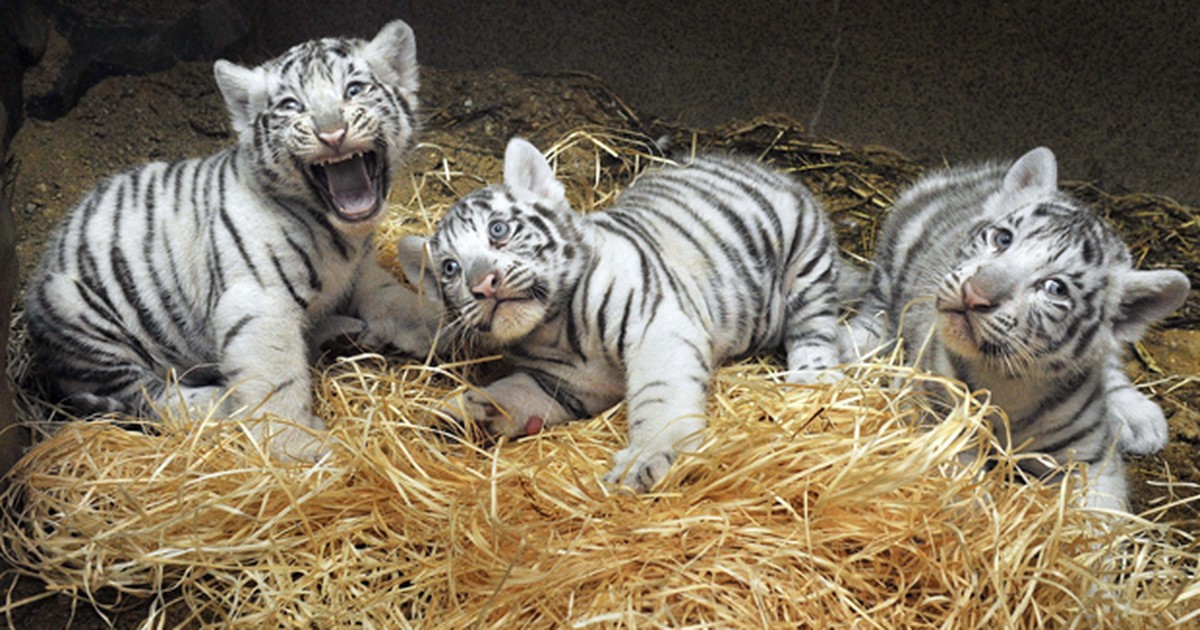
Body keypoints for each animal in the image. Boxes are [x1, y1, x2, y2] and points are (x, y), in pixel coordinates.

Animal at [23, 20, 440, 459]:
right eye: (292, 105)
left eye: (354, 89)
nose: (332, 133)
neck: (339, 236)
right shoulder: (259, 301)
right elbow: (277, 379)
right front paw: (298, 447)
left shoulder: (360, 271)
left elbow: (395, 297)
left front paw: (435, 324)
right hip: (74, 312)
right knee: (150, 395)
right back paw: (226, 404)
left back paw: (343, 333)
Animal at [399, 137, 842, 492]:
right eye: (451, 268)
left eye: (498, 230)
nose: (484, 285)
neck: (552, 330)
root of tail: (760, 165)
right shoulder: (562, 386)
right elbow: (512, 392)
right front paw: (465, 411)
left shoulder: (657, 327)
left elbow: (659, 396)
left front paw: (647, 459)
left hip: (807, 260)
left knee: (817, 326)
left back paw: (812, 378)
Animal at [841, 146, 1190, 510]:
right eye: (1003, 239)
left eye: (1055, 288)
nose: (974, 293)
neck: (1006, 378)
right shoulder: (929, 409)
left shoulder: (1090, 458)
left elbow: (1102, 511)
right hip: (897, 251)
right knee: (879, 305)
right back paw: (853, 344)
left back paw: (1139, 416)